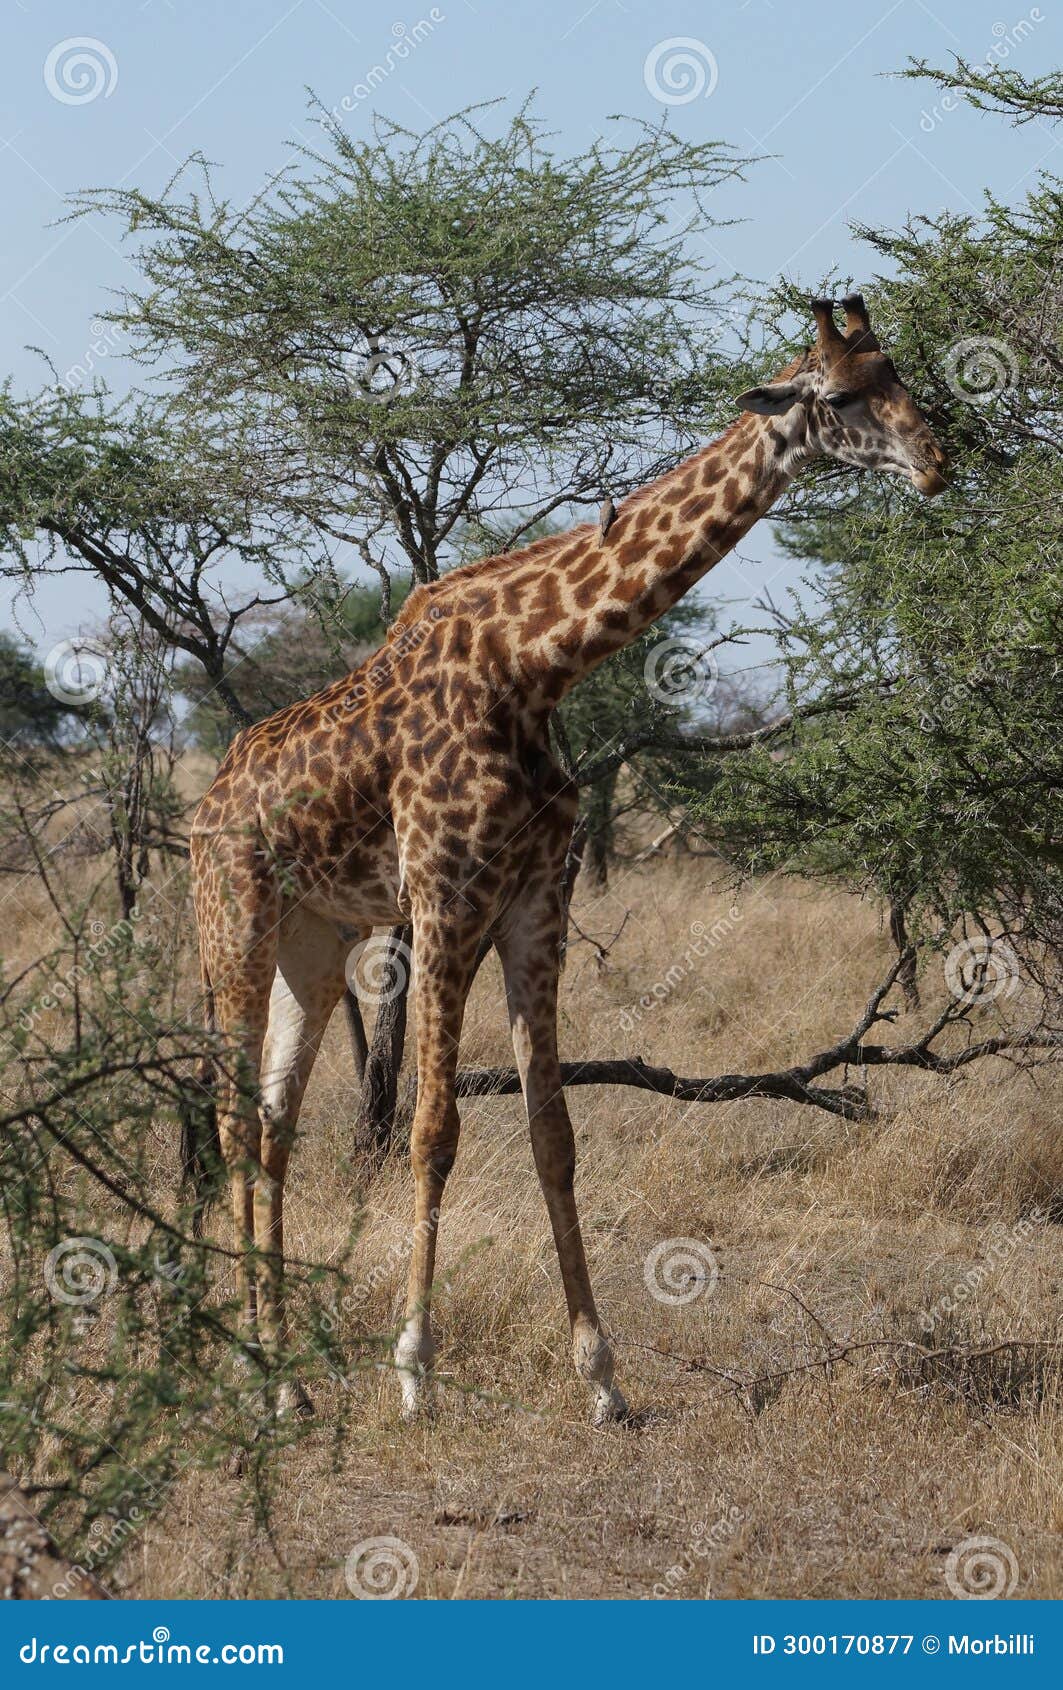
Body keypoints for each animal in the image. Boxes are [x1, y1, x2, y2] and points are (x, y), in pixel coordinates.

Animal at [190, 295, 947, 1424]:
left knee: (275, 1123)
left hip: (312, 945)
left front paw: (604, 1377)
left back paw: (285, 1374)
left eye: (898, 371)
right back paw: (252, 1373)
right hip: (232, 925)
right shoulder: (444, 896)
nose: (937, 462)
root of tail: (204, 805)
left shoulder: (533, 901)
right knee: (235, 1121)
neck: (538, 663)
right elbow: (432, 1130)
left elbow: (554, 1134)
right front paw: (414, 1371)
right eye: (846, 395)